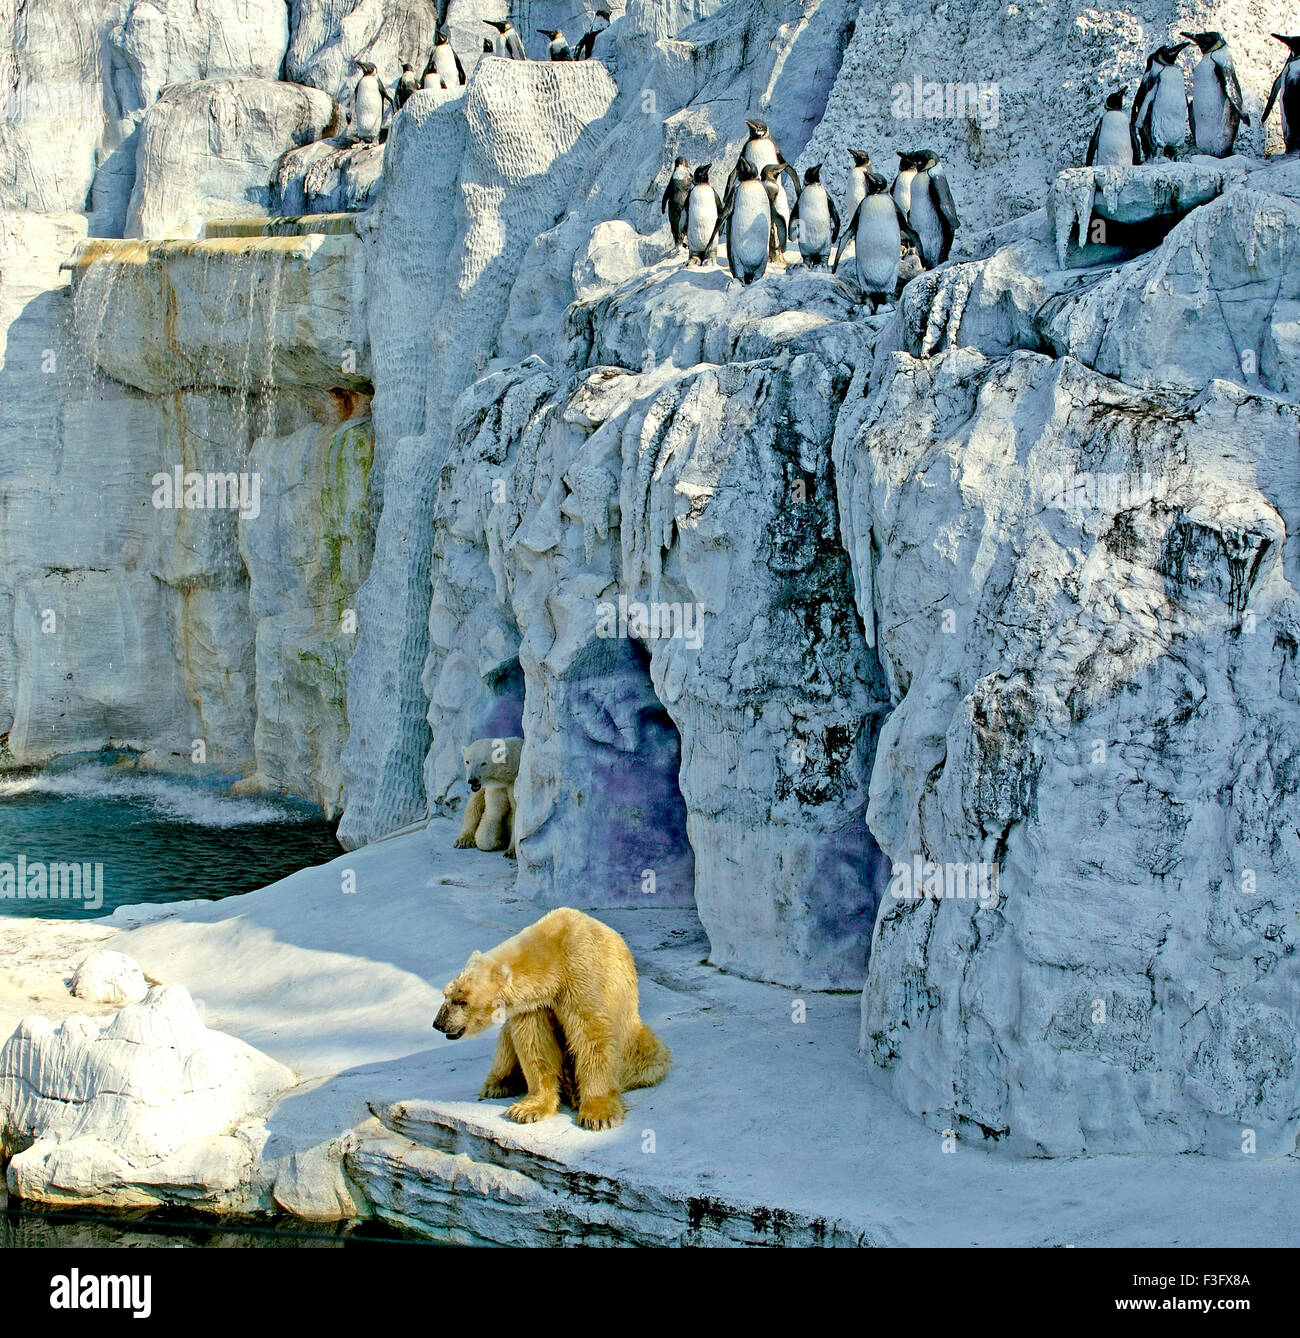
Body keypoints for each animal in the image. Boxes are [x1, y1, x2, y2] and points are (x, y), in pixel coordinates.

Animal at [432, 907, 671, 1130]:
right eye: (446, 994)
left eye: (461, 1001)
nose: (438, 1024)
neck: (556, 957)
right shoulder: (533, 1005)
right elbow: (533, 1043)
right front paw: (528, 1110)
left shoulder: (583, 975)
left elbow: (592, 1035)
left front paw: (598, 1115)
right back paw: (498, 1083)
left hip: (635, 1042)